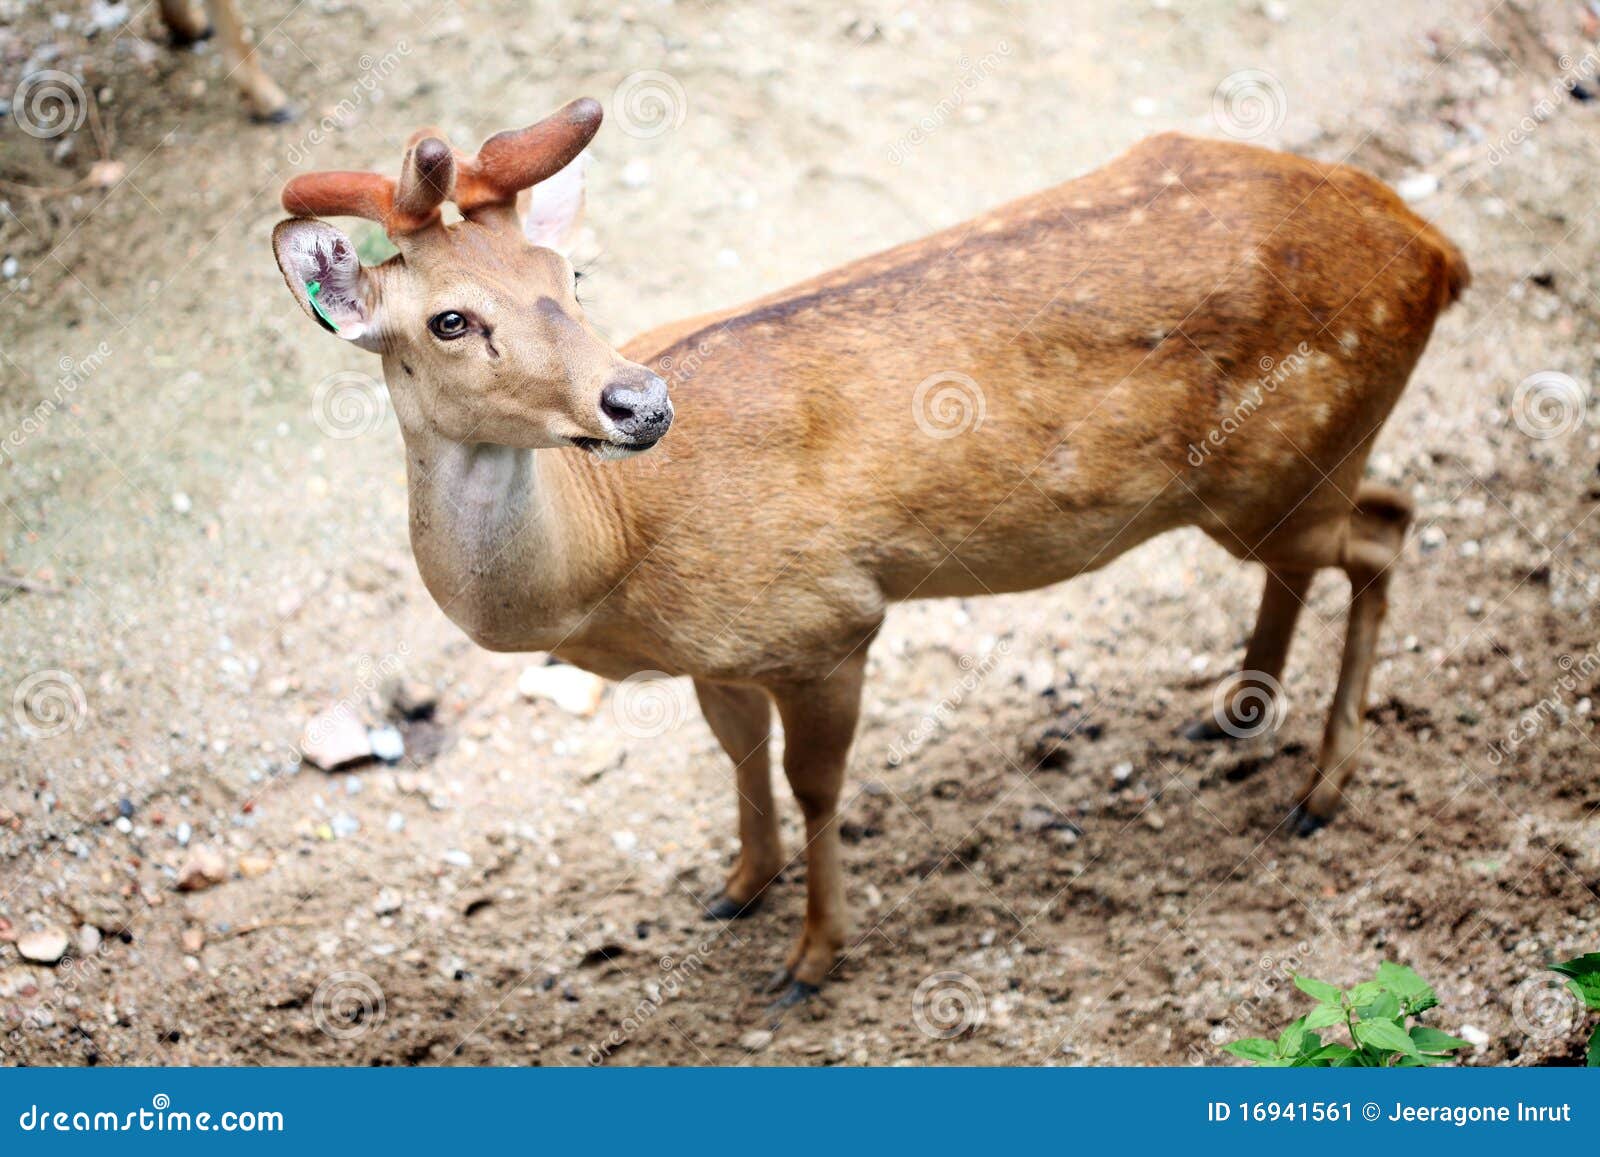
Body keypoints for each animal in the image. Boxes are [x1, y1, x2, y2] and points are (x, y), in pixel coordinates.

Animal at [270, 98, 1467, 1009]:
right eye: (449, 320)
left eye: (571, 278)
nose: (639, 400)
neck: (620, 562)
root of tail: (1433, 246)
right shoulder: (723, 649)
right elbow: (738, 756)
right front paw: (736, 885)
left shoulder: (827, 618)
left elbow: (815, 784)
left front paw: (810, 960)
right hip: (1283, 477)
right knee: (1347, 537)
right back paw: (1234, 711)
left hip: (1289, 460)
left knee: (1386, 530)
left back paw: (1321, 786)